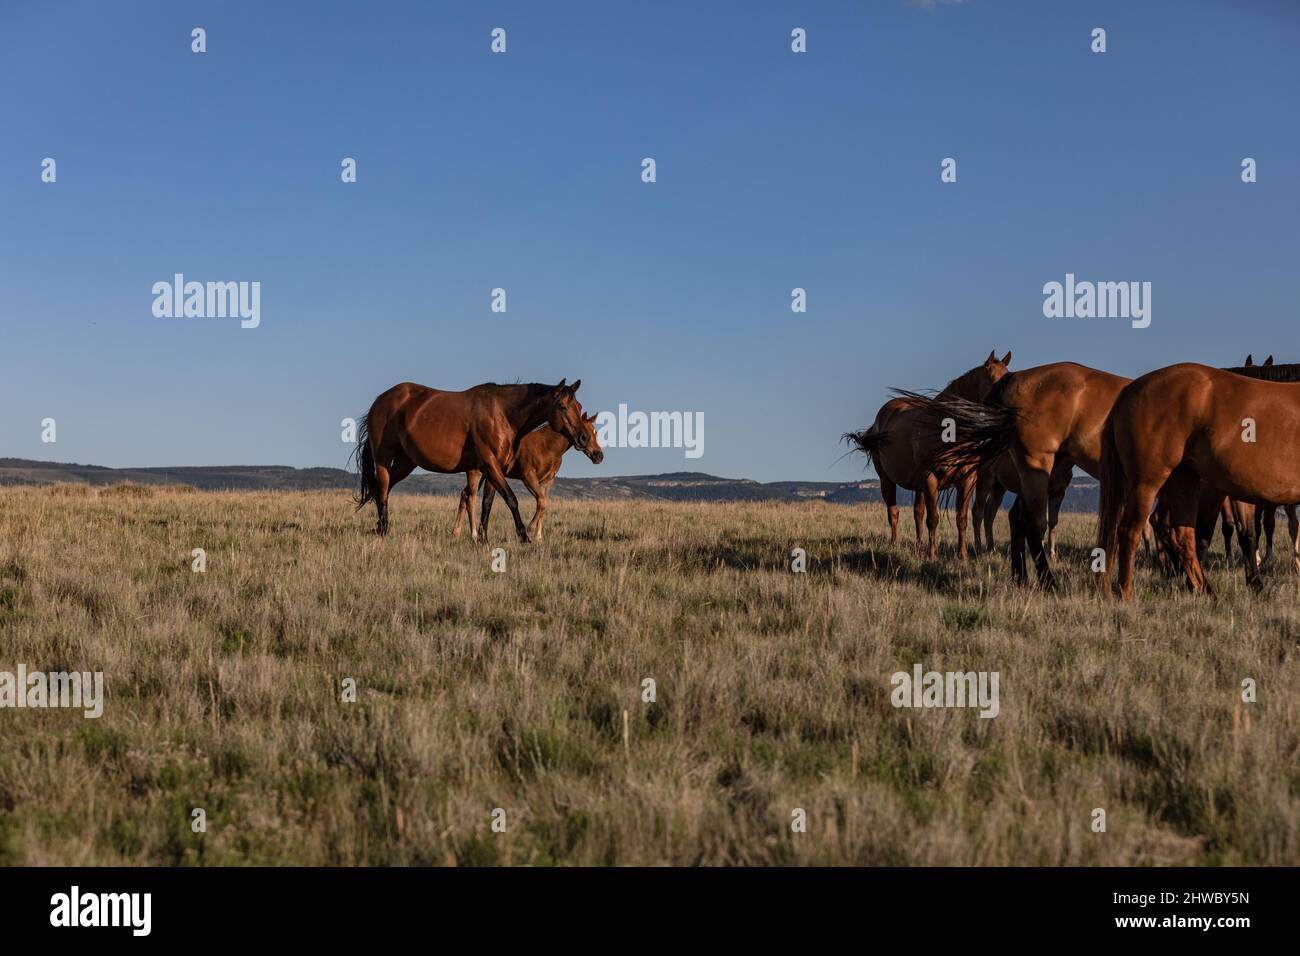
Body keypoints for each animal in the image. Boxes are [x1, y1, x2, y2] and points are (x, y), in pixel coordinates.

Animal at [355, 379, 588, 542]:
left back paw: (379, 526)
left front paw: (483, 539)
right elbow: (511, 498)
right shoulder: (490, 465)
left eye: (578, 406)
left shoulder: (494, 468)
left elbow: (487, 503)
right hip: (384, 459)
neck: (503, 414)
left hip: (406, 463)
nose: (583, 437)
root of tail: (380, 400)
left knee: (381, 490)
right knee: (382, 489)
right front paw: (524, 535)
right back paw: (384, 530)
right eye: (562, 406)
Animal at [454, 412, 604, 543]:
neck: (547, 446)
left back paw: (456, 532)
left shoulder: (547, 482)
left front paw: (538, 537)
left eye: (595, 432)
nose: (599, 456)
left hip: (486, 474)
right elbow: (541, 501)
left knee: (464, 494)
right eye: (586, 433)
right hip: (476, 473)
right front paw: (529, 529)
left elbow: (543, 504)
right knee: (471, 498)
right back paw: (473, 535)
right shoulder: (528, 477)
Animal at [845, 351, 1011, 560]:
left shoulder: (967, 480)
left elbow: (961, 518)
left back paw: (920, 545)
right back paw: (894, 544)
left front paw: (962, 555)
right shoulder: (930, 478)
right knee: (893, 512)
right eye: (993, 379)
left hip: (918, 485)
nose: (1007, 413)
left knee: (918, 512)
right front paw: (932, 556)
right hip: (887, 480)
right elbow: (933, 518)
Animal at [917, 362, 1130, 586]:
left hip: (1006, 486)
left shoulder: (1058, 492)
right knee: (992, 515)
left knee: (1002, 516)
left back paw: (1016, 571)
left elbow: (1054, 521)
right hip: (1004, 478)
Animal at [1098, 363, 1300, 600]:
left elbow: (1246, 533)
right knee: (1130, 533)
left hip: (1183, 481)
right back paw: (1127, 593)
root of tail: (1129, 389)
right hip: (1146, 484)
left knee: (1181, 535)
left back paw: (1205, 591)